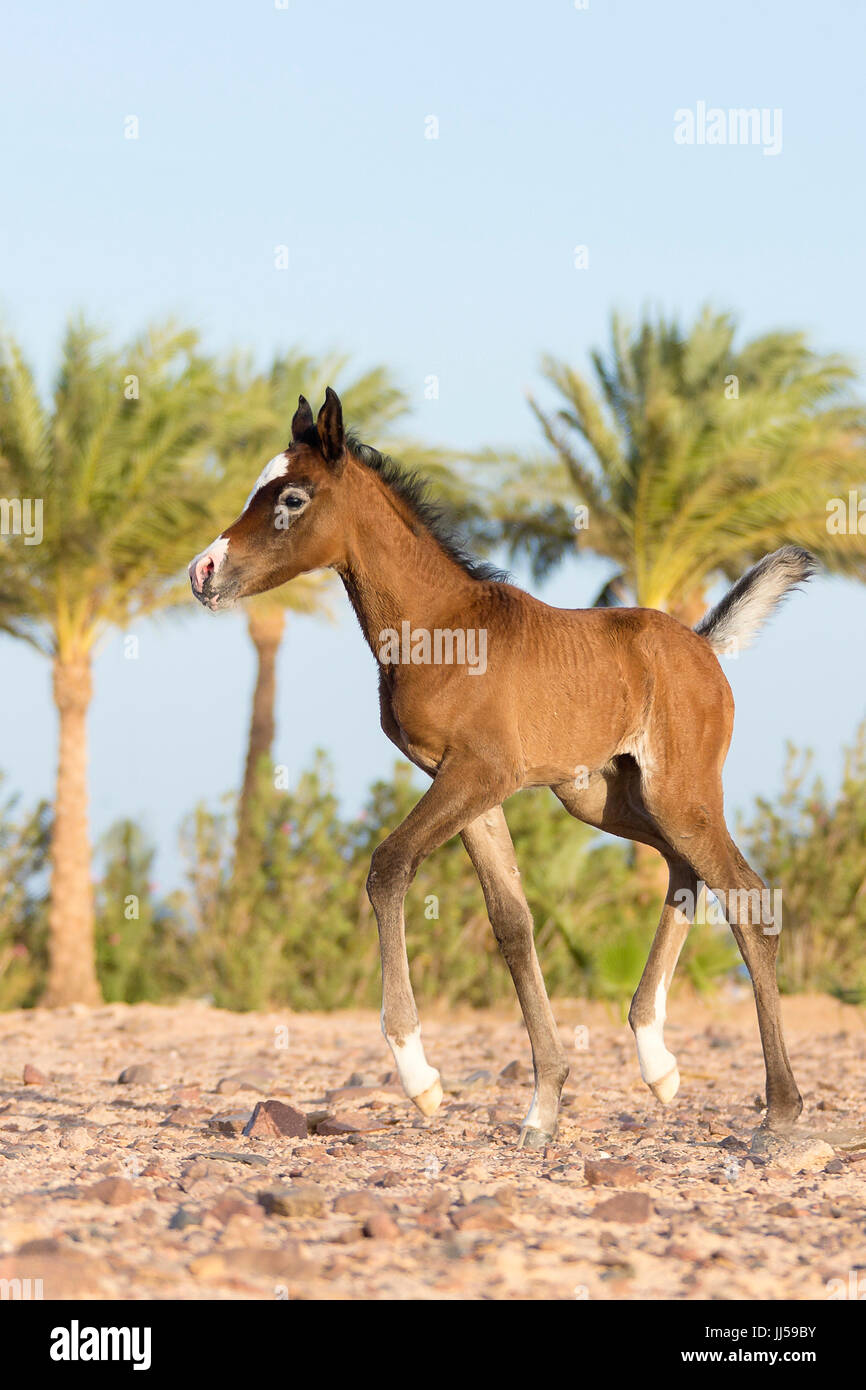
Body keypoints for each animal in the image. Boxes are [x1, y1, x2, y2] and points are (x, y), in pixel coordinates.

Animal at [190, 387, 814, 1148]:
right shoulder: (469, 789)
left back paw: (780, 1107)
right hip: (604, 797)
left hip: (678, 793)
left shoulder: (478, 775)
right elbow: (512, 924)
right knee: (684, 871)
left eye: (291, 498)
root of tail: (702, 644)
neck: (439, 627)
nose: (203, 571)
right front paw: (544, 1104)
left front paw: (421, 1079)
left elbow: (388, 867)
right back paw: (657, 1059)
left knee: (747, 898)